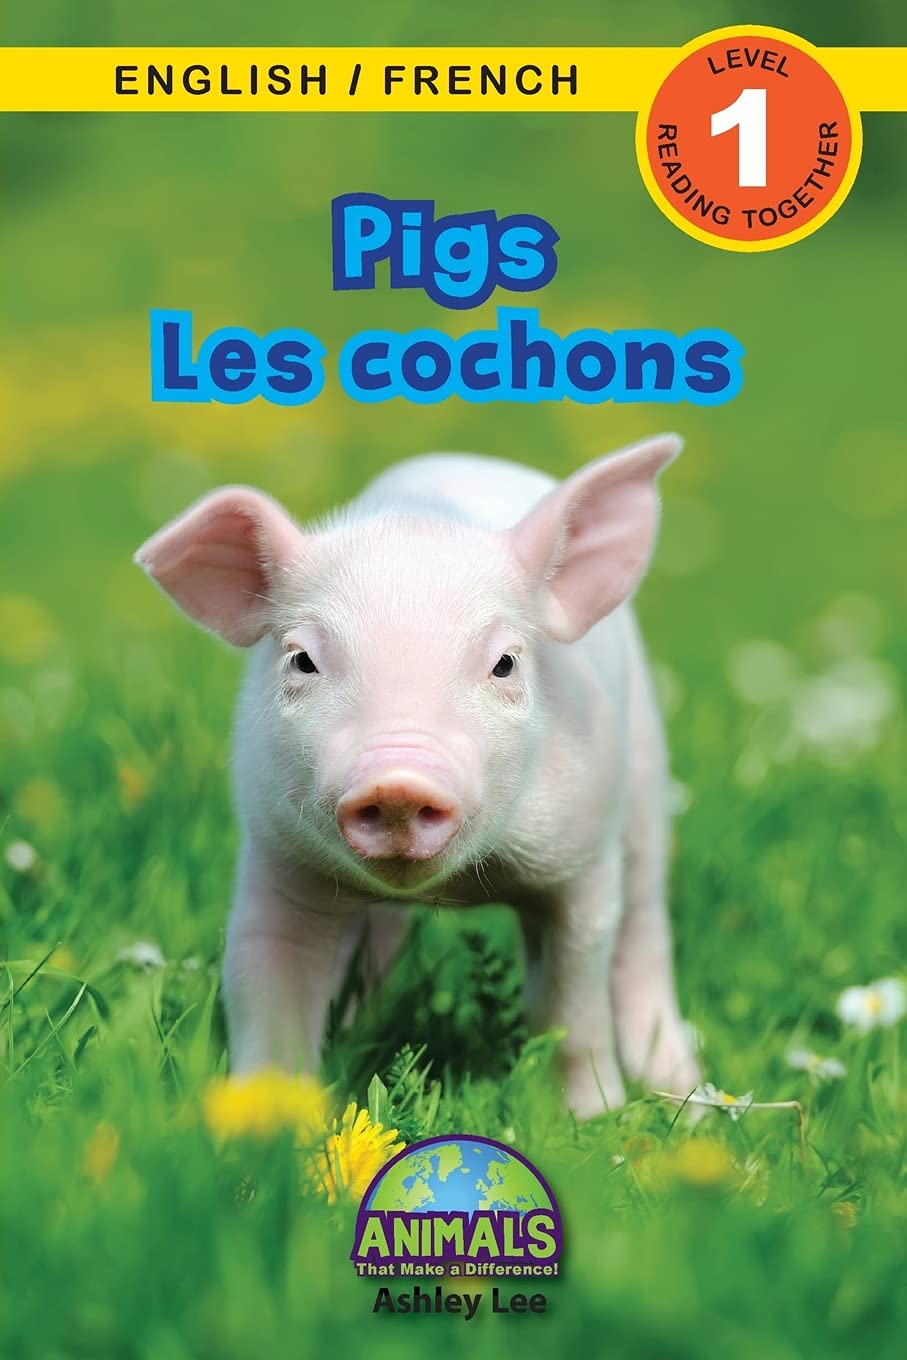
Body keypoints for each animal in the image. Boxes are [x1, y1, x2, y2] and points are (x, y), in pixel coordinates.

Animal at [135, 435, 699, 1118]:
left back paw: (681, 1088)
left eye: (505, 663)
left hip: (643, 776)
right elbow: (266, 979)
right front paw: (270, 1122)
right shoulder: (277, 854)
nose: (398, 782)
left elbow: (572, 998)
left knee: (643, 926)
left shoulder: (580, 856)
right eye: (302, 659)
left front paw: (589, 1120)